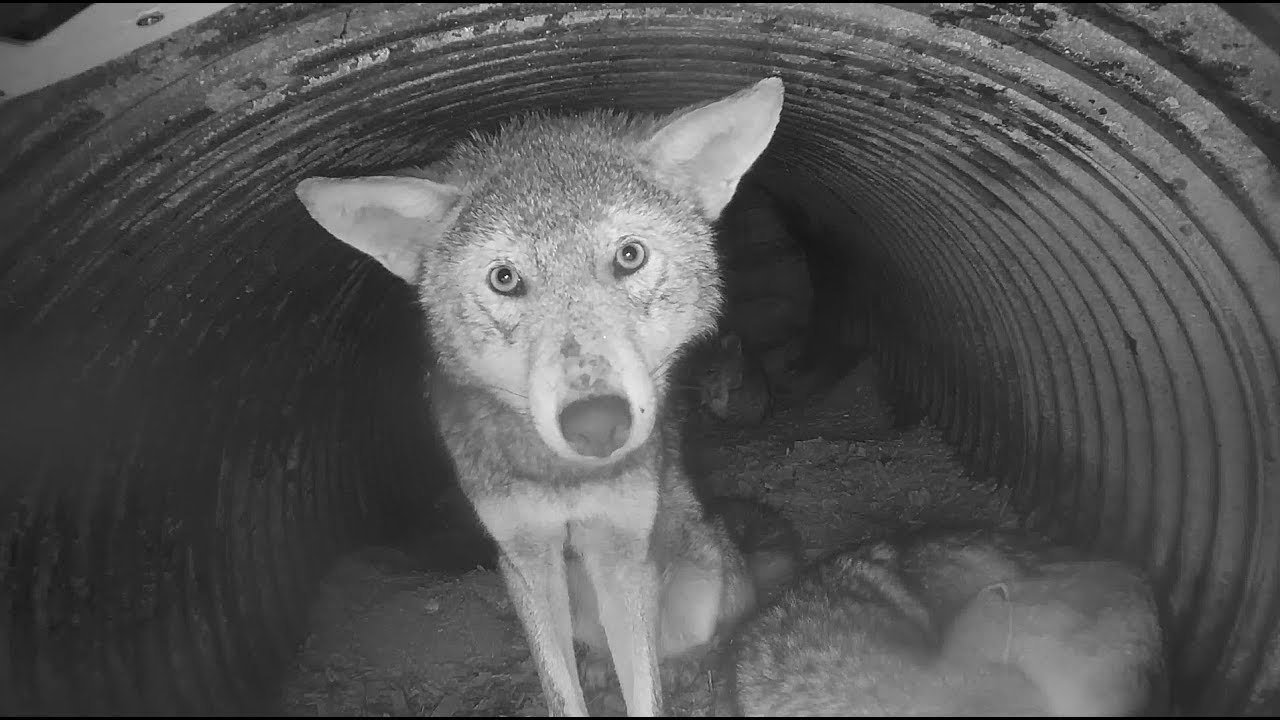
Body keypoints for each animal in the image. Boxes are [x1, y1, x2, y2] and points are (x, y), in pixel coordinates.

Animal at [294, 77, 786, 716]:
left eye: (629, 255)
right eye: (505, 279)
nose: (597, 424)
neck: (562, 477)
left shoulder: (619, 547)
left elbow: (644, 689)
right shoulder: (524, 557)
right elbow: (560, 692)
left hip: (699, 575)